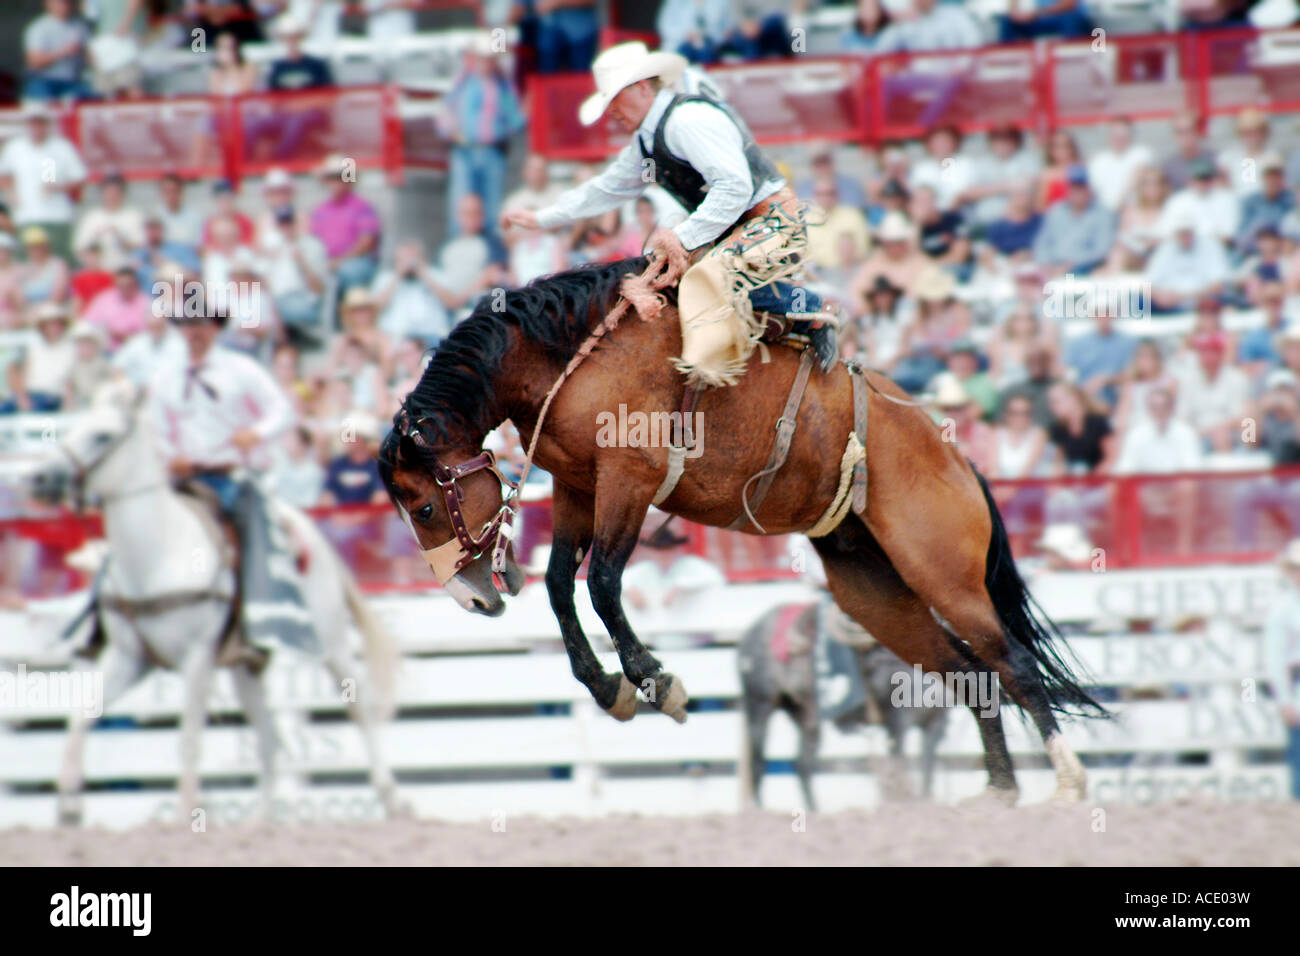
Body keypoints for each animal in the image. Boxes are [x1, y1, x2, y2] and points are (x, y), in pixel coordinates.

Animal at [24, 381, 404, 824]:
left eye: (102, 435)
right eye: (77, 425)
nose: (38, 478)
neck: (157, 553)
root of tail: (309, 531)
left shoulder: (198, 656)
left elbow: (189, 739)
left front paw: (184, 812)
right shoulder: (130, 658)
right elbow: (82, 714)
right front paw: (69, 803)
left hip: (329, 642)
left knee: (359, 709)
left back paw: (393, 799)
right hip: (247, 664)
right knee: (268, 736)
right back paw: (260, 821)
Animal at [737, 600, 949, 811]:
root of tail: (748, 636)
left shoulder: (935, 723)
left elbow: (927, 768)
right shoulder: (896, 721)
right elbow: (898, 764)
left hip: (806, 716)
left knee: (802, 765)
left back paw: (814, 810)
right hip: (759, 703)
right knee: (758, 762)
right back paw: (759, 811)